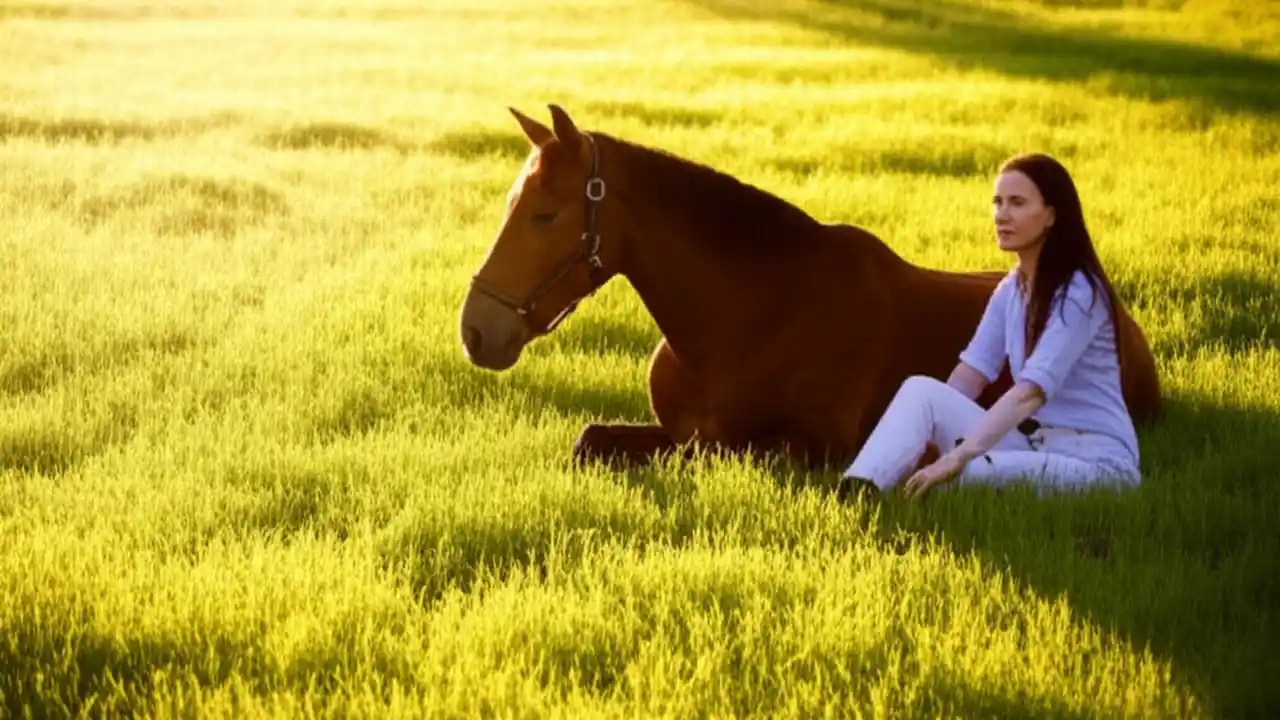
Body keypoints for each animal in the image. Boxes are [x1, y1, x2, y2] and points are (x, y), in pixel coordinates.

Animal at [458, 105, 1162, 473]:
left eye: (544, 215)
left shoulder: (801, 447)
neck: (747, 321)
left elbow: (715, 455)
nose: (475, 331)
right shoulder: (674, 428)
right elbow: (592, 442)